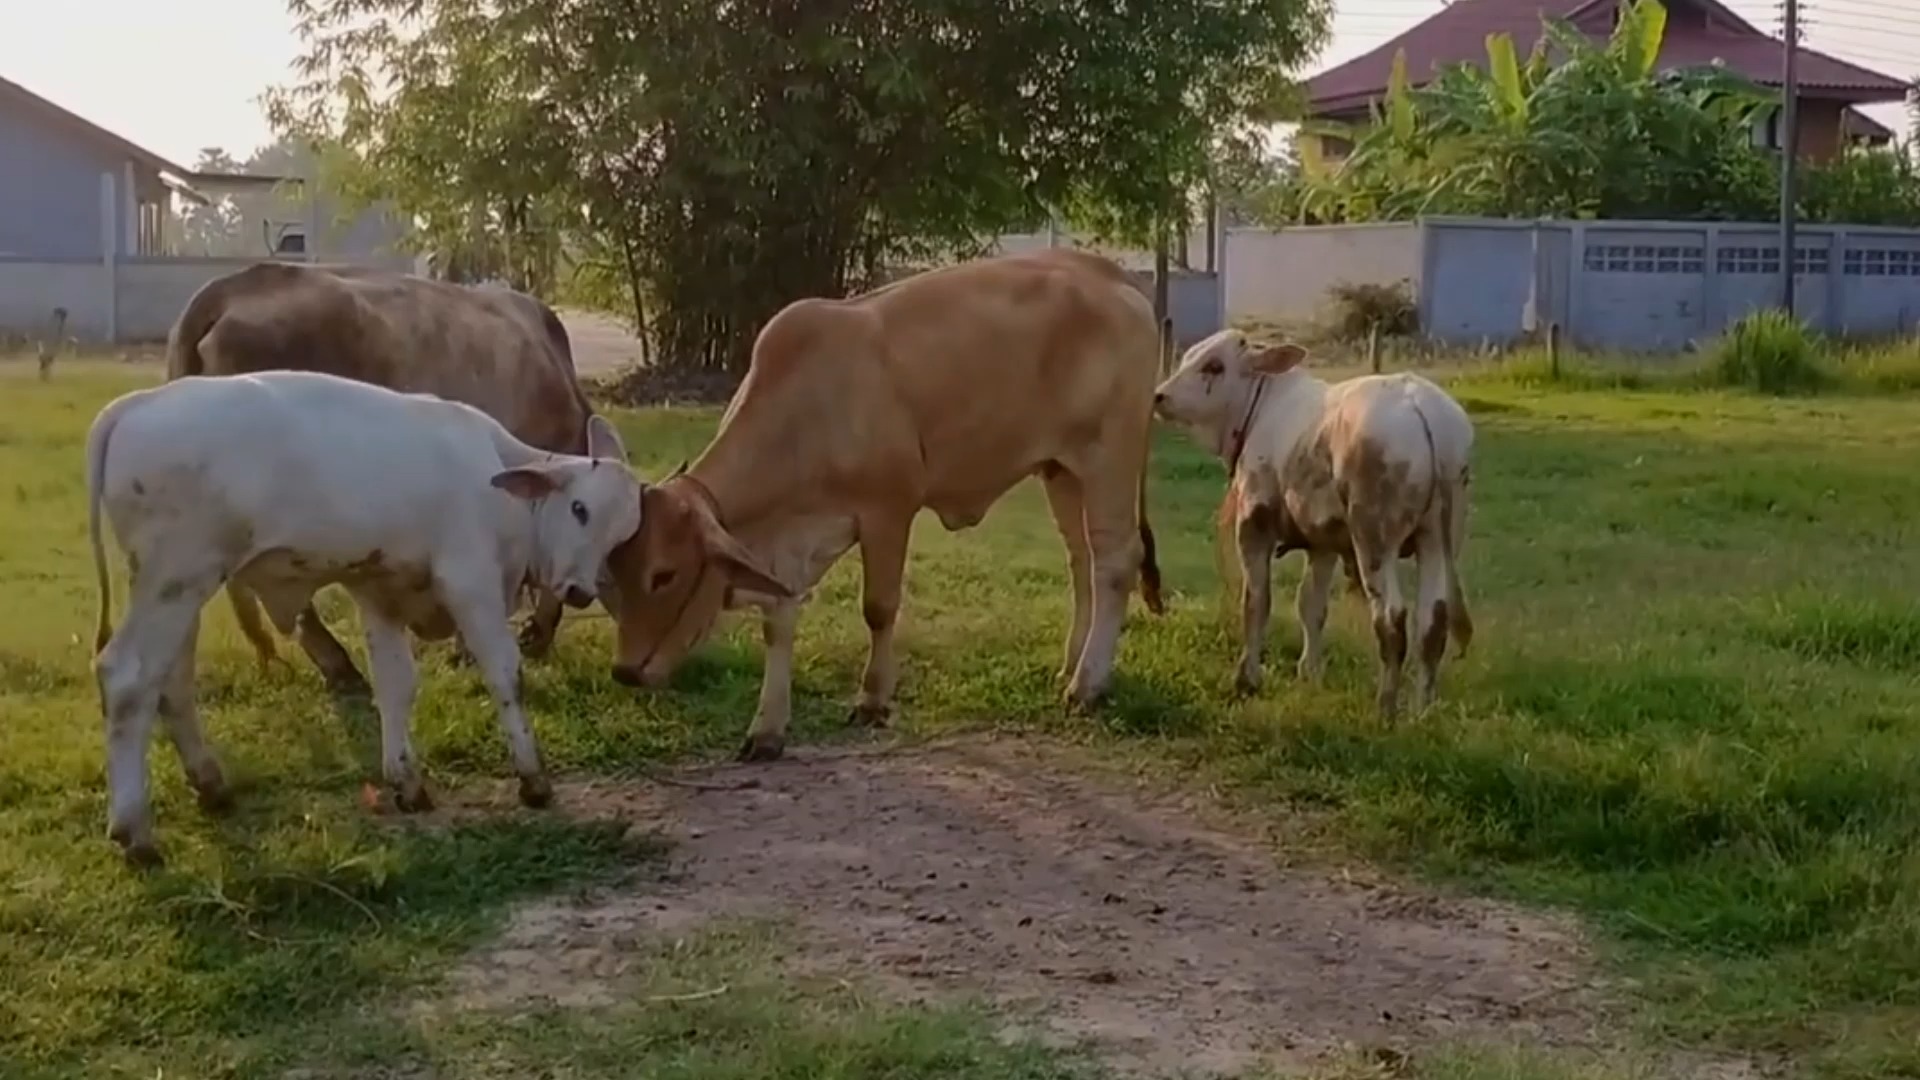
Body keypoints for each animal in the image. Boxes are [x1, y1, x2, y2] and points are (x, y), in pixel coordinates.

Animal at [85, 370, 643, 868]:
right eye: (579, 508)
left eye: (622, 535)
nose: (579, 591)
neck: (499, 481)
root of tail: (137, 403)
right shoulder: (471, 584)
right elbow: (506, 676)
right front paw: (533, 780)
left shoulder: (381, 594)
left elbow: (395, 686)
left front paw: (406, 781)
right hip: (176, 578)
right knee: (128, 676)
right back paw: (135, 831)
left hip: (179, 589)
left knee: (171, 681)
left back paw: (211, 785)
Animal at [600, 248, 1166, 761]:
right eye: (616, 571)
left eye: (664, 574)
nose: (624, 671)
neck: (806, 411)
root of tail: (1107, 272)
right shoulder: (789, 550)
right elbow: (777, 623)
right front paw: (767, 728)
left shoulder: (889, 511)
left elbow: (878, 608)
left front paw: (872, 700)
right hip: (1062, 471)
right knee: (1083, 561)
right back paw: (1075, 665)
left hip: (1108, 459)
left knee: (1115, 562)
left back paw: (1087, 685)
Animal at [1151, 329, 1474, 718]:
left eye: (1214, 365)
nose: (1160, 395)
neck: (1261, 407)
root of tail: (1422, 406)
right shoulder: (1323, 542)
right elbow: (1311, 606)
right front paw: (1310, 672)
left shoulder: (1254, 524)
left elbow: (1256, 602)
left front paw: (1247, 678)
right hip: (1437, 539)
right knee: (1432, 623)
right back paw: (1420, 711)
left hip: (1374, 539)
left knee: (1391, 620)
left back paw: (1385, 708)